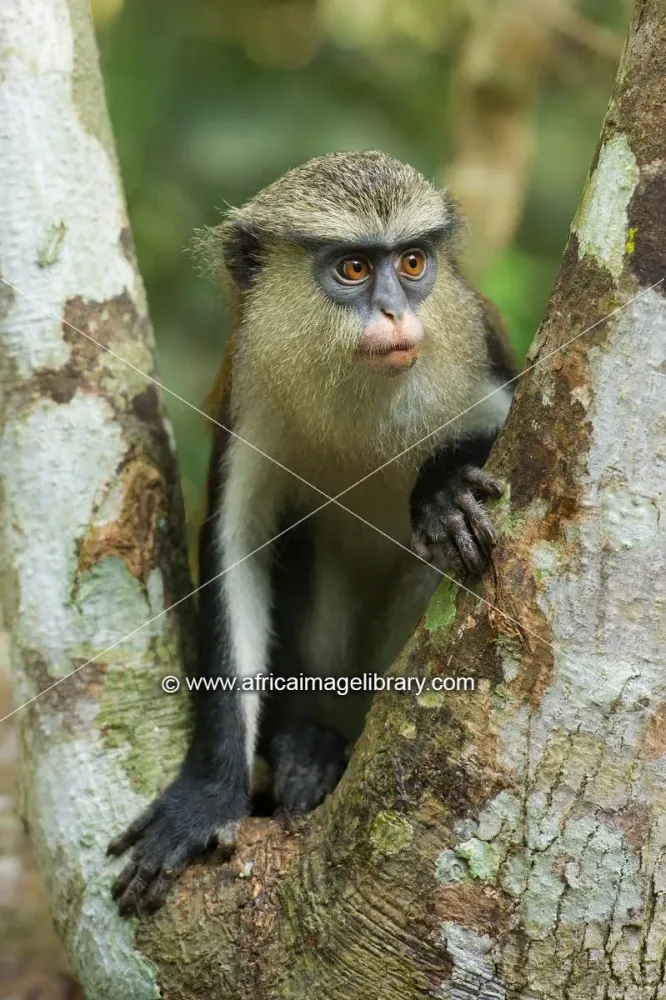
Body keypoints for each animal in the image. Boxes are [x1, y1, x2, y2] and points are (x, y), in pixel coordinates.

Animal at [108, 150, 517, 915]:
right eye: (353, 268)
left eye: (412, 262)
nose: (395, 312)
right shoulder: (250, 400)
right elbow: (234, 548)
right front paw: (205, 800)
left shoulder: (483, 360)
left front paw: (444, 490)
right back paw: (309, 749)